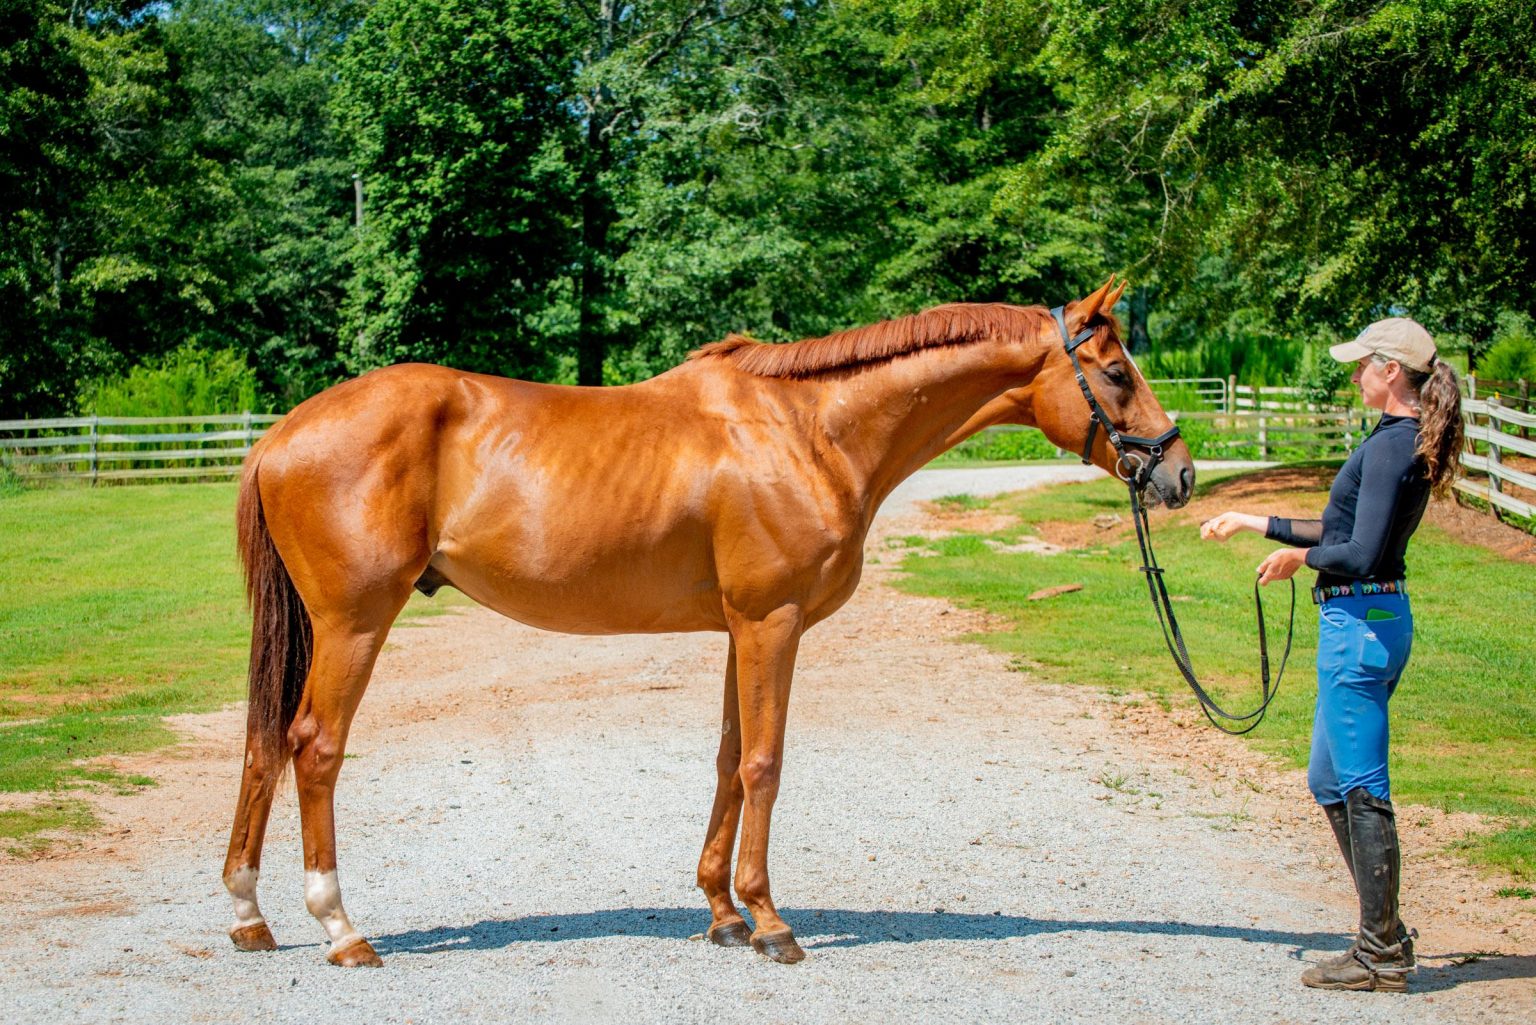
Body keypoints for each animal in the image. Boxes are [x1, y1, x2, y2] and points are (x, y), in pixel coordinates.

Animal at [222, 277, 1194, 968]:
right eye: (1117, 373)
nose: (1177, 473)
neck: (809, 430)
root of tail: (280, 434)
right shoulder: (773, 620)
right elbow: (766, 762)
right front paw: (770, 921)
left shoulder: (740, 627)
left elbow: (730, 759)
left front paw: (723, 912)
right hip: (354, 623)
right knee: (314, 746)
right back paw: (341, 928)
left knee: (264, 743)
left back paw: (247, 913)